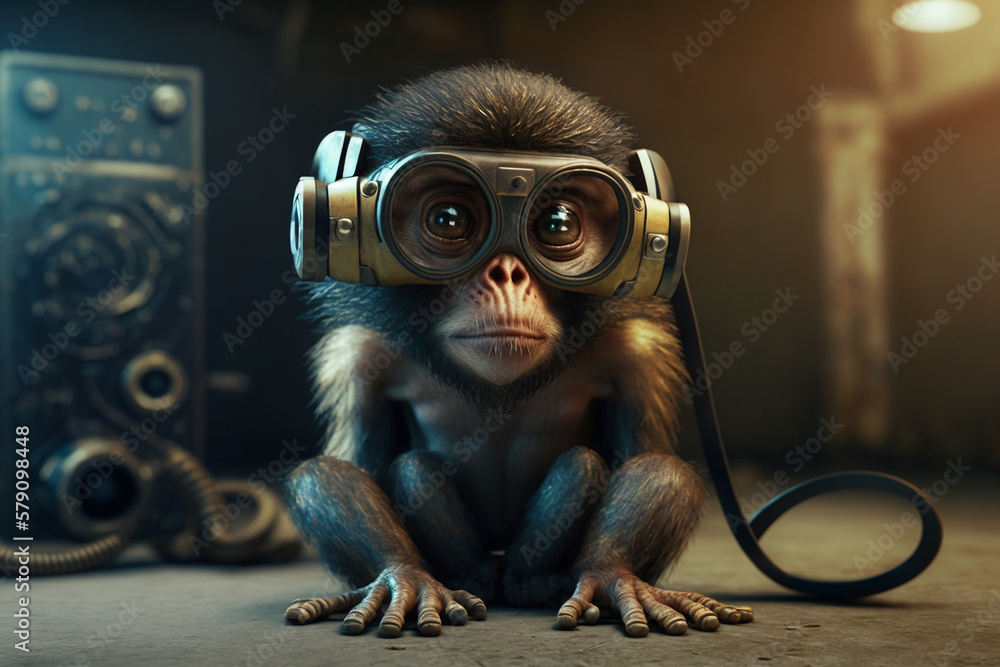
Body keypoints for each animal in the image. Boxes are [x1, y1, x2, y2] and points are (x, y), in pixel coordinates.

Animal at [282, 62, 754, 638]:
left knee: (582, 468)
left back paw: (535, 583)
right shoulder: (358, 358)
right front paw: (402, 576)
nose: (507, 274)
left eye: (557, 224)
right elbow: (343, 472)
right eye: (448, 219)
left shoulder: (636, 355)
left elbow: (653, 465)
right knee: (412, 471)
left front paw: (613, 573)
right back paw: (470, 578)